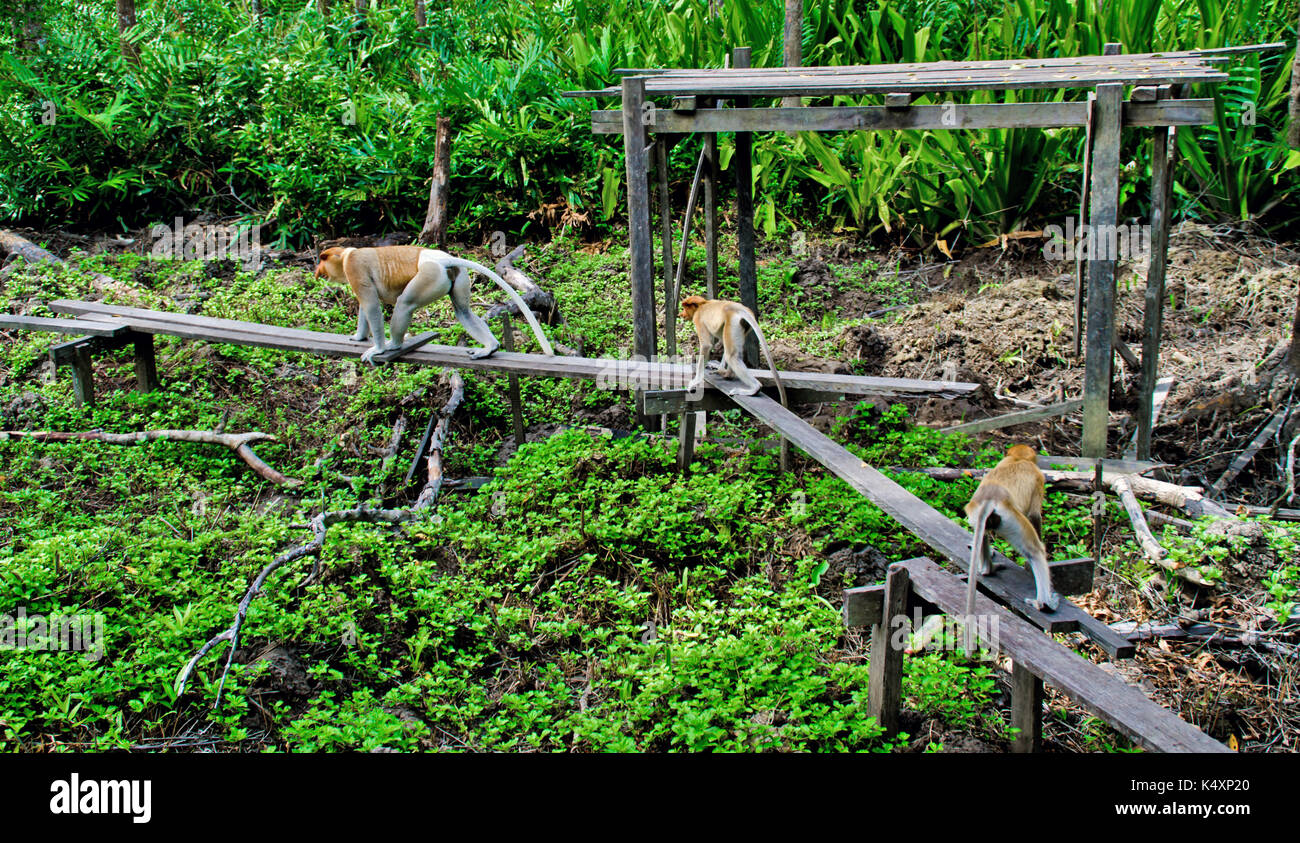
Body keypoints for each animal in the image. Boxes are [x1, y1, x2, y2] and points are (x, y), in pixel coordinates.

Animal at [314, 245, 554, 365]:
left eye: (322, 259)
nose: (317, 271)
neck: (347, 254)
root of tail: (441, 259)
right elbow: (365, 307)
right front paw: (358, 337)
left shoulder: (355, 269)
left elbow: (371, 305)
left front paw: (377, 349)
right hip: (458, 276)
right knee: (463, 312)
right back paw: (490, 347)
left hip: (429, 276)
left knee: (405, 304)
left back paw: (393, 345)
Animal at [964, 444, 1060, 639]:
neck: (1018, 459)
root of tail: (990, 499)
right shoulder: (1038, 478)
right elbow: (1035, 515)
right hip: (1012, 520)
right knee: (1035, 550)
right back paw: (1044, 604)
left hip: (977, 516)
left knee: (983, 534)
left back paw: (988, 569)